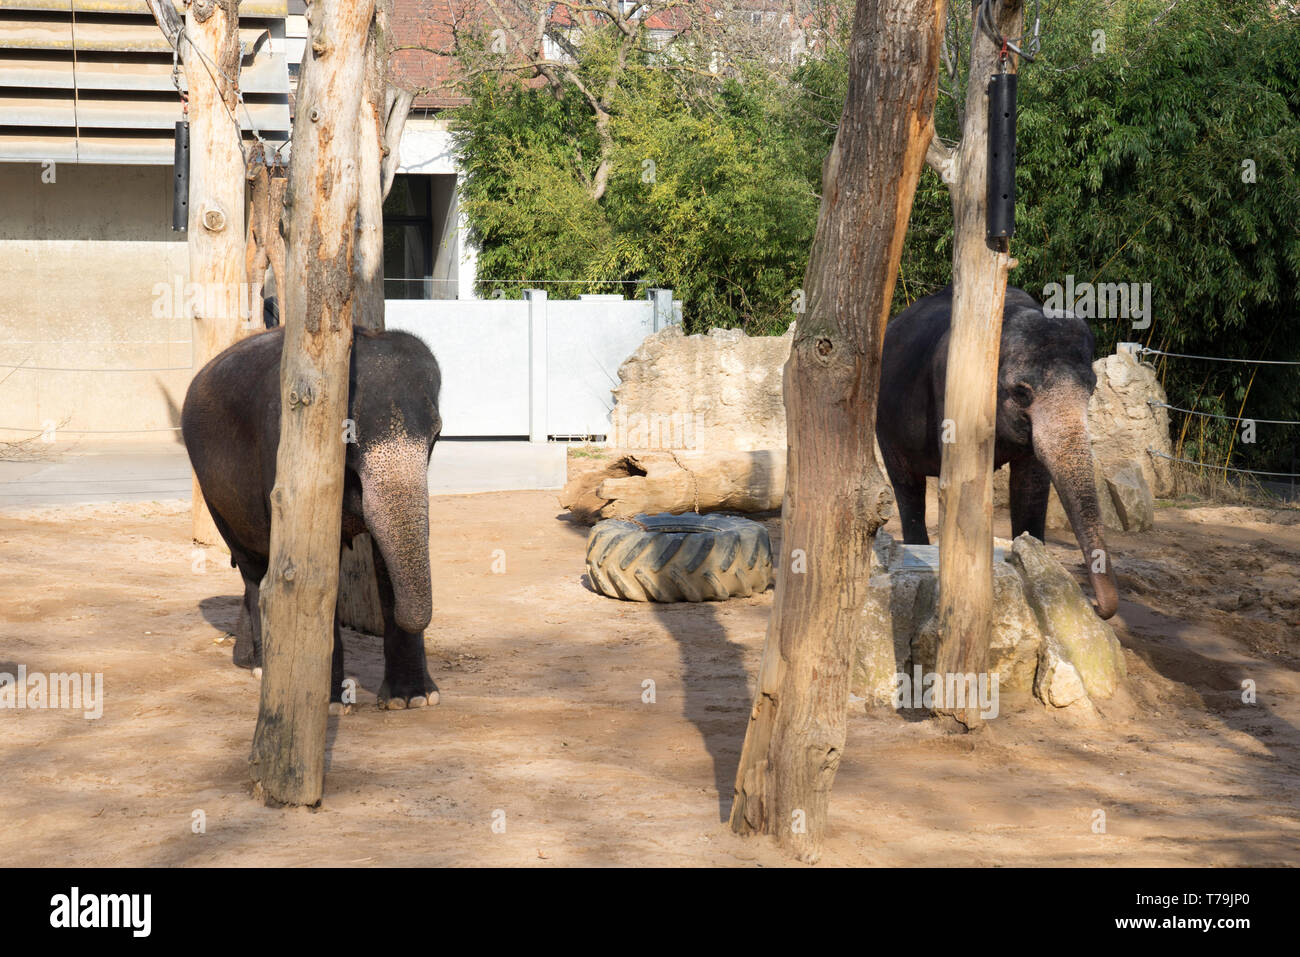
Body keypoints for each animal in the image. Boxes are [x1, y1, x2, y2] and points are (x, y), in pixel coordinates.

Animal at [181, 325, 443, 709]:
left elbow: (385, 556)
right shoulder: (284, 448)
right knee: (253, 568)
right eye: (349, 434)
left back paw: (247, 661)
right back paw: (262, 667)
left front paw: (413, 699)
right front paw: (329, 701)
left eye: (437, 434)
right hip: (212, 488)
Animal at [876, 285, 1119, 619]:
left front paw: (1031, 558)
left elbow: (1030, 483)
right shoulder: (952, 388)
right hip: (885, 425)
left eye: (1093, 388)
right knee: (907, 484)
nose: (1096, 605)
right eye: (1021, 392)